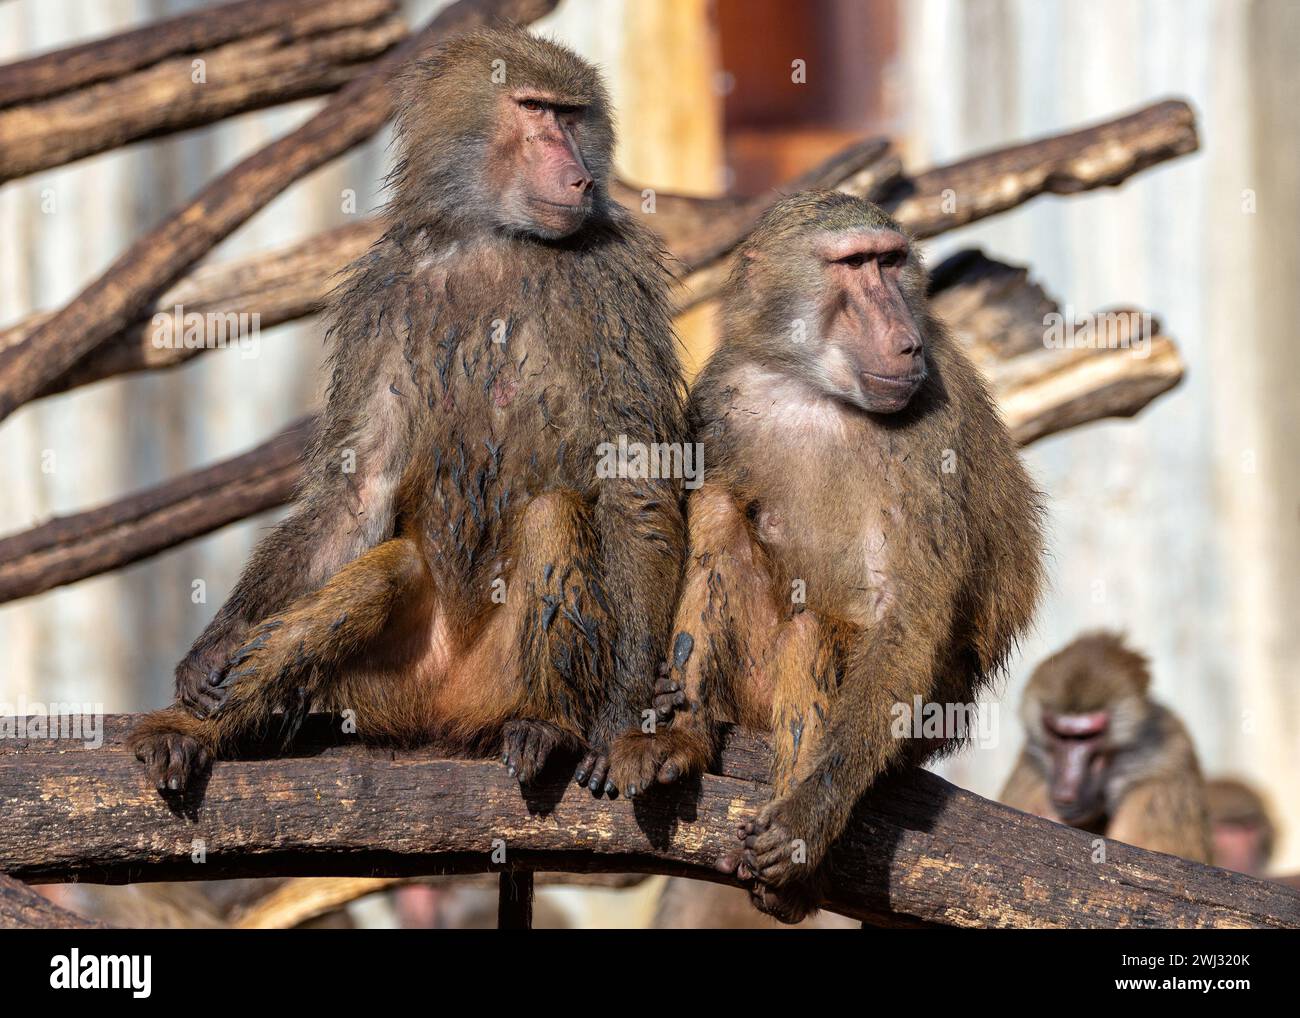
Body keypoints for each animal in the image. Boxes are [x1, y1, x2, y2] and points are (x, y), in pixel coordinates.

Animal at [129, 27, 687, 799]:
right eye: (536, 110)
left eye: (573, 117)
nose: (579, 179)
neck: (491, 237)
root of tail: (445, 715)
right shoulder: (385, 291)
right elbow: (357, 494)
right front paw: (214, 648)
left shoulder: (611, 283)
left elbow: (633, 484)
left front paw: (622, 719)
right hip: (388, 689)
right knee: (386, 568)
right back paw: (197, 731)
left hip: (501, 678)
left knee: (551, 515)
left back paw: (545, 726)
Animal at [608, 190, 1045, 923]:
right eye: (853, 265)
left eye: (891, 262)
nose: (906, 340)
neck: (812, 388)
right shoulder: (723, 390)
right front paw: (661, 711)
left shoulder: (932, 422)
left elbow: (906, 615)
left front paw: (806, 824)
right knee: (720, 509)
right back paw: (683, 739)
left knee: (813, 635)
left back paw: (792, 878)